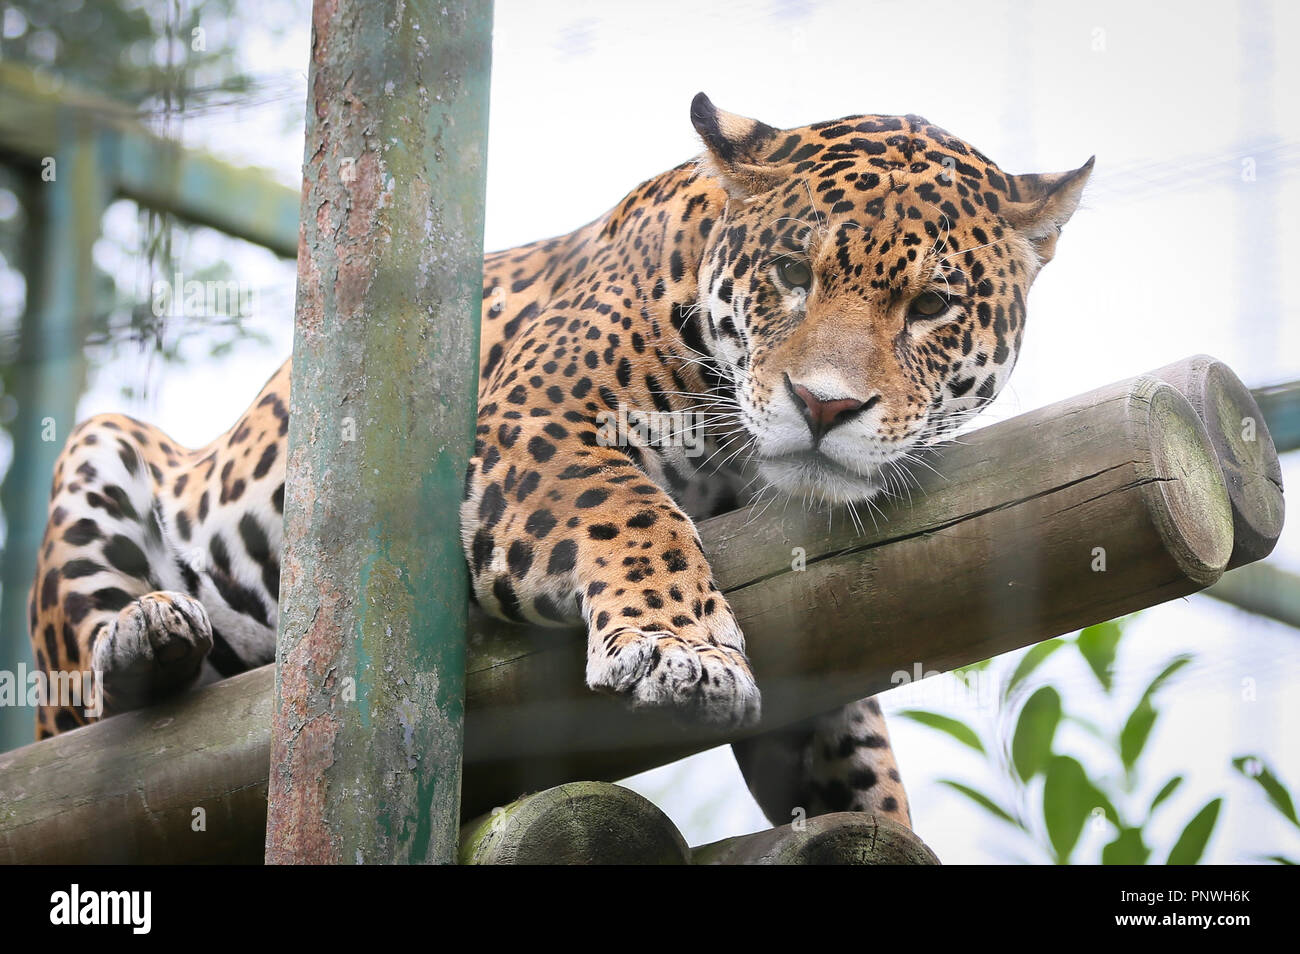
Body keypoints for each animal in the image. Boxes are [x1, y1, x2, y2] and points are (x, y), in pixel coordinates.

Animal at [27, 94, 1090, 831]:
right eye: (793, 273)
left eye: (932, 306)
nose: (825, 406)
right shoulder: (528, 428)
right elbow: (636, 512)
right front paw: (683, 652)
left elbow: (861, 771)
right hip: (102, 451)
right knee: (83, 701)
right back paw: (149, 636)